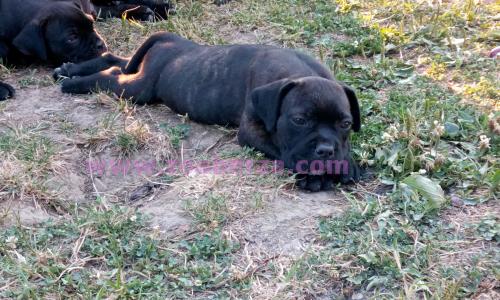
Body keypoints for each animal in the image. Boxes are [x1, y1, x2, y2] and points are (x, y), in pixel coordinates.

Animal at [54, 32, 362, 191]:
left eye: (346, 123)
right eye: (299, 120)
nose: (326, 151)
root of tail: (170, 38)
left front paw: (348, 164)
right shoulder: (251, 132)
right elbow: (278, 149)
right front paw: (312, 176)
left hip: (138, 72)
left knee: (115, 59)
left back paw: (68, 69)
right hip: (139, 88)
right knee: (112, 75)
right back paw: (73, 82)